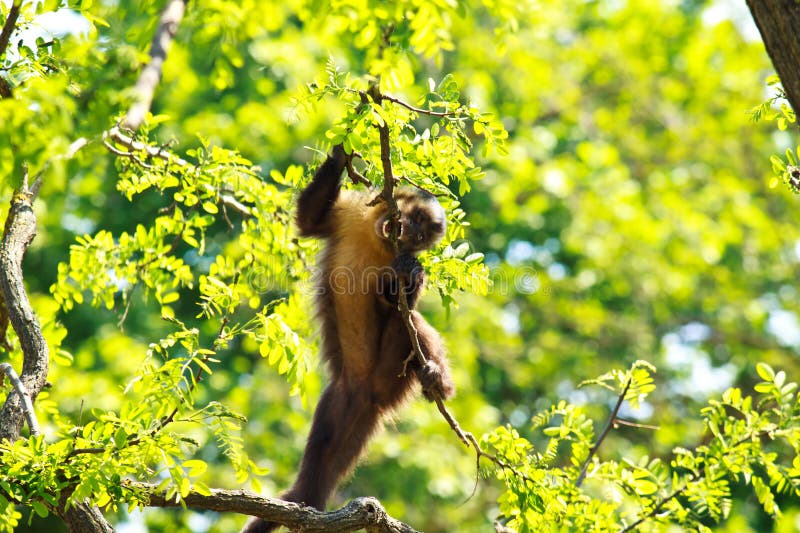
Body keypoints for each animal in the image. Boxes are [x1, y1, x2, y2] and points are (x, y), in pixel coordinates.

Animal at [242, 145, 454, 533]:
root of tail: (366, 392)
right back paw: (301, 499)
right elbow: (309, 221)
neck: (375, 237)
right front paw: (341, 154)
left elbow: (399, 301)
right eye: (414, 219)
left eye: (419, 238)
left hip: (390, 376)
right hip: (340, 400)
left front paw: (412, 277)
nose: (406, 231)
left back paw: (436, 380)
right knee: (324, 450)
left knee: (409, 323)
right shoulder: (350, 214)